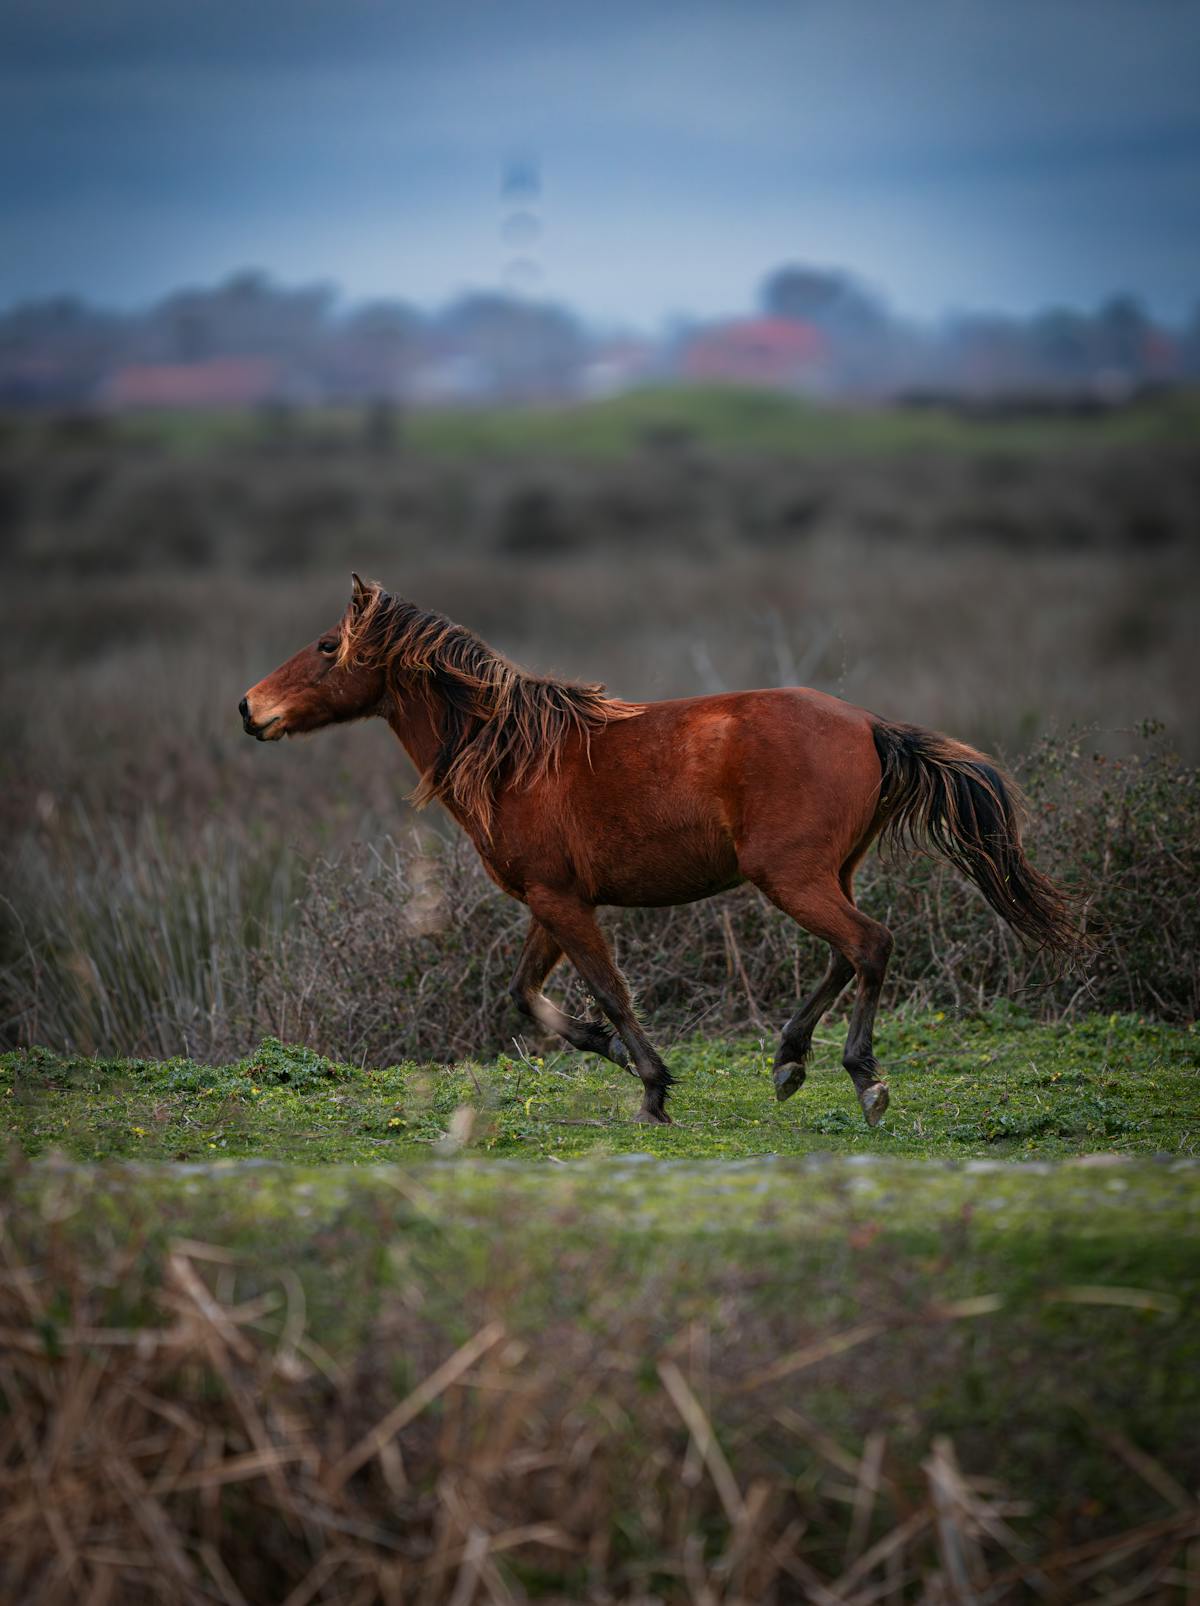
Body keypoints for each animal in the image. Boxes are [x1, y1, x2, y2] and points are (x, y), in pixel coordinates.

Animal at [240, 575, 1081, 1126]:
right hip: (828, 874)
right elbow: (526, 995)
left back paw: (862, 1077)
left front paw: (649, 1087)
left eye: (327, 646)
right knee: (847, 955)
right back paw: (789, 1060)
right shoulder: (551, 902)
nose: (250, 710)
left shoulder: (560, 901)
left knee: (869, 945)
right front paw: (607, 1051)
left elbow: (610, 992)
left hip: (792, 878)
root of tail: (871, 726)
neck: (513, 757)